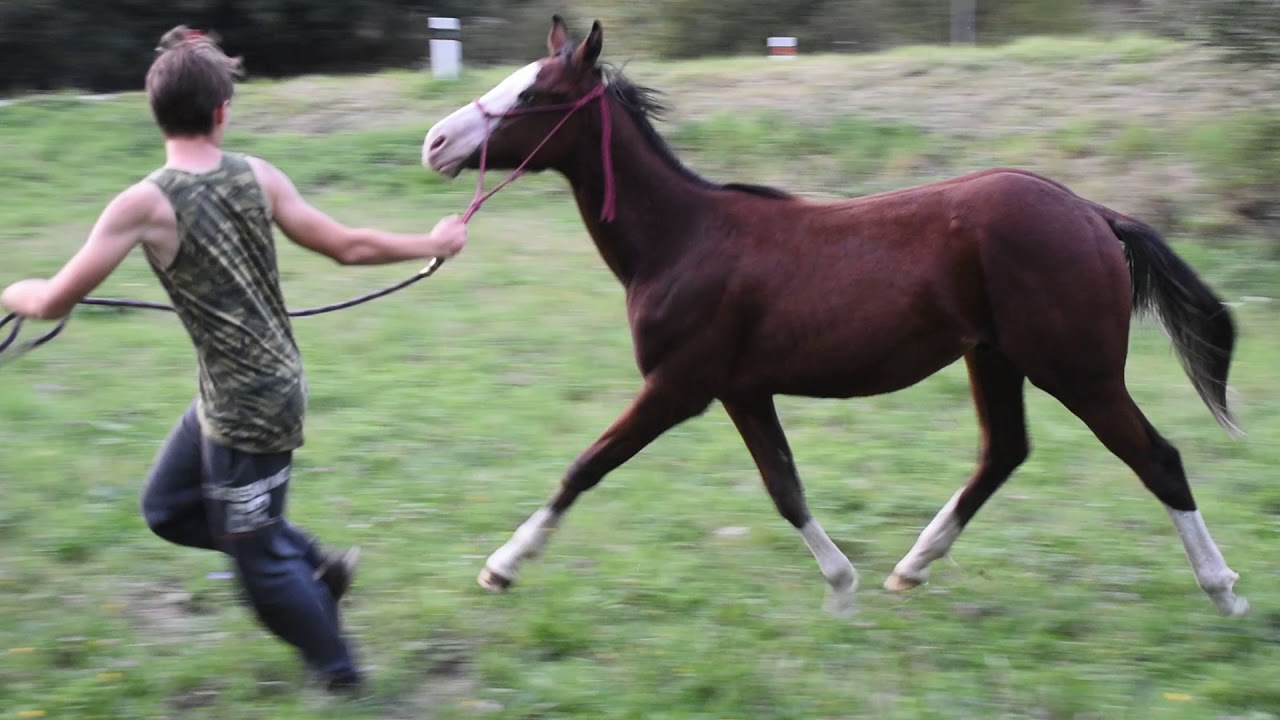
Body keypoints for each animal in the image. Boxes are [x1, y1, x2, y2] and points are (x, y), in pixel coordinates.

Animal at [421, 15, 1248, 617]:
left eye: (533, 97)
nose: (434, 143)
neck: (681, 239)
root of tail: (1095, 214)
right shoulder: (742, 389)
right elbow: (786, 488)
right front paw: (844, 587)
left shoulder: (679, 386)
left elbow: (586, 465)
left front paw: (501, 567)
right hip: (996, 358)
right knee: (1003, 453)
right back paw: (909, 569)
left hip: (1075, 368)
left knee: (1157, 460)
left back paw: (1224, 591)